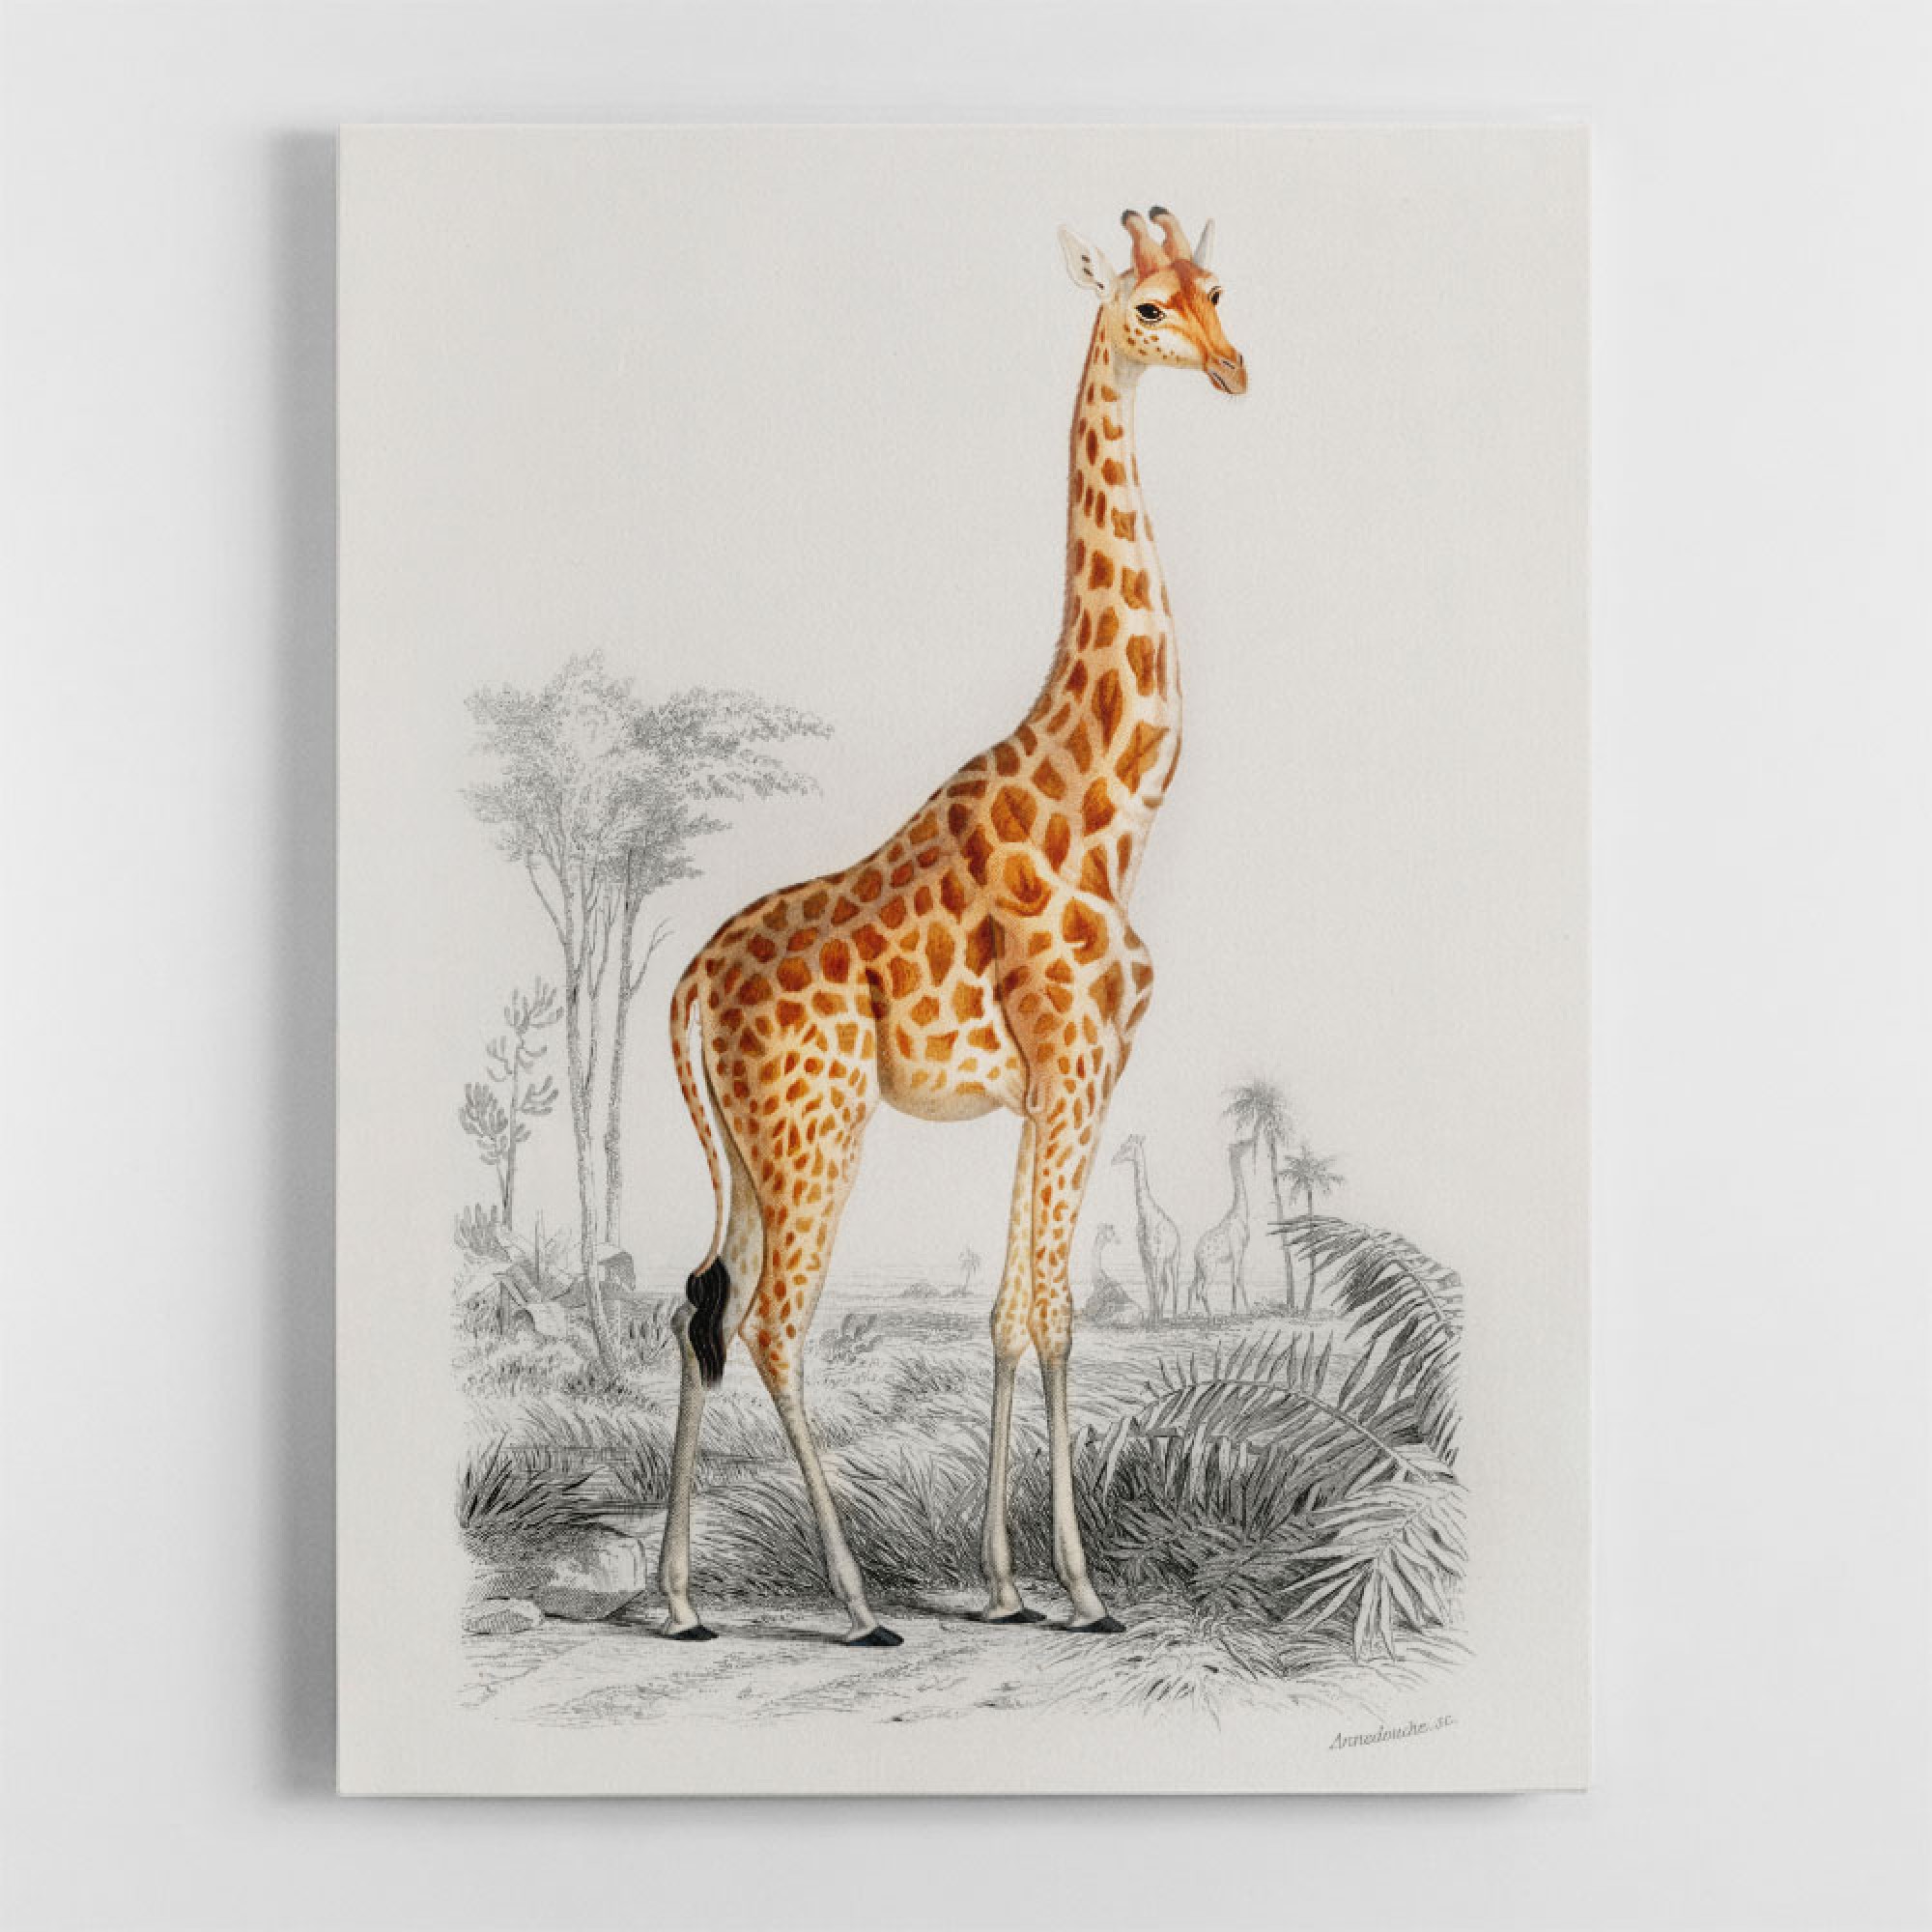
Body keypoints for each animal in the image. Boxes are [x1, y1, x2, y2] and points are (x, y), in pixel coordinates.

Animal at [1112, 1132, 1182, 1326]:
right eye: (1121, 1145)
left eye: (1127, 1147)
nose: (1113, 1159)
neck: (1145, 1214)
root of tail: (1177, 1232)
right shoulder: (1144, 1256)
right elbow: (1150, 1286)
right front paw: (1151, 1318)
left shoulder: (1156, 1256)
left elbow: (1155, 1286)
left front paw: (1155, 1319)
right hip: (1162, 1261)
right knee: (1165, 1284)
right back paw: (1161, 1315)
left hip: (1173, 1258)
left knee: (1174, 1284)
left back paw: (1174, 1316)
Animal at [1188, 1134, 1255, 1317]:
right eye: (1241, 1143)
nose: (1253, 1140)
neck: (1240, 1214)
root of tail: (1195, 1254)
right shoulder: (1237, 1251)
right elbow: (1235, 1279)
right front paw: (1233, 1311)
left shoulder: (1242, 1252)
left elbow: (1241, 1280)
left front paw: (1249, 1310)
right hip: (1210, 1268)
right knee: (1203, 1292)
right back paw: (1211, 1316)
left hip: (1199, 1269)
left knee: (1191, 1287)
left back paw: (1187, 1313)